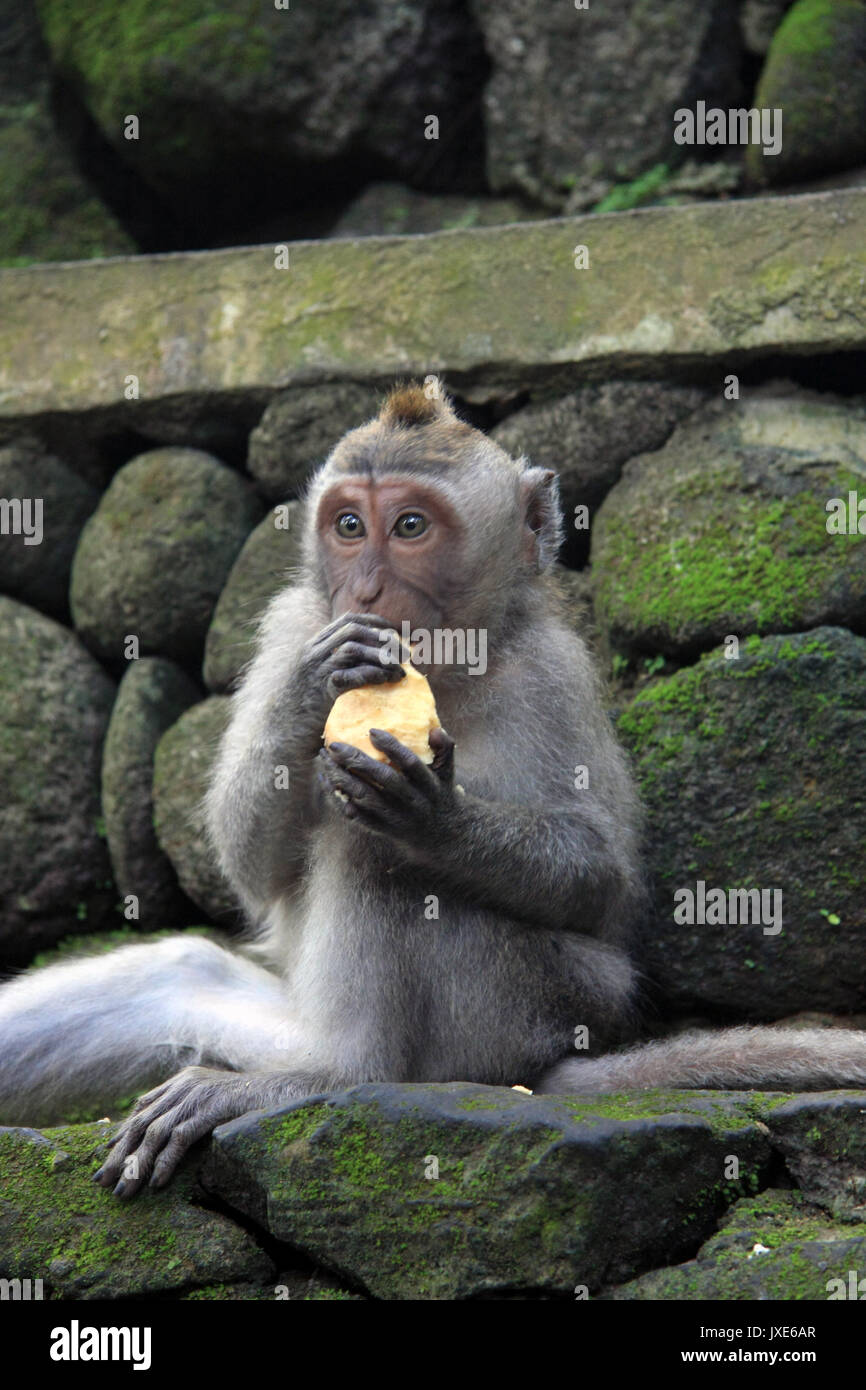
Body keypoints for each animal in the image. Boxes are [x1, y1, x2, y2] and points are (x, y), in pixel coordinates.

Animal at [1, 379, 866, 1201]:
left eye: (411, 527)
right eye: (350, 527)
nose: (366, 594)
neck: (449, 666)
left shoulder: (553, 672)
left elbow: (597, 876)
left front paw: (435, 821)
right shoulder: (290, 624)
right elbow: (252, 869)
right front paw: (315, 687)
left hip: (540, 1007)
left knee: (374, 856)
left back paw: (341, 1073)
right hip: (287, 1018)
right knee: (182, 971)